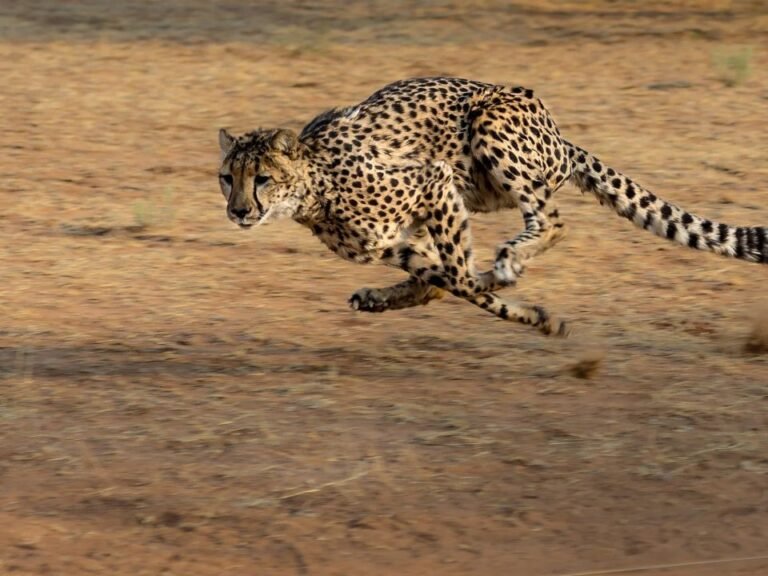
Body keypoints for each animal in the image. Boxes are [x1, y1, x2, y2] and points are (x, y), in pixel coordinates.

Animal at [217, 76, 766, 337]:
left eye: (261, 178)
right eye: (227, 178)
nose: (238, 211)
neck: (313, 187)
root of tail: (560, 136)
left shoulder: (434, 181)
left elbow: (460, 279)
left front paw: (529, 308)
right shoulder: (394, 242)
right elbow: (446, 281)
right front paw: (534, 315)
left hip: (490, 125)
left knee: (552, 221)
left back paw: (509, 260)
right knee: (440, 280)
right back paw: (388, 296)